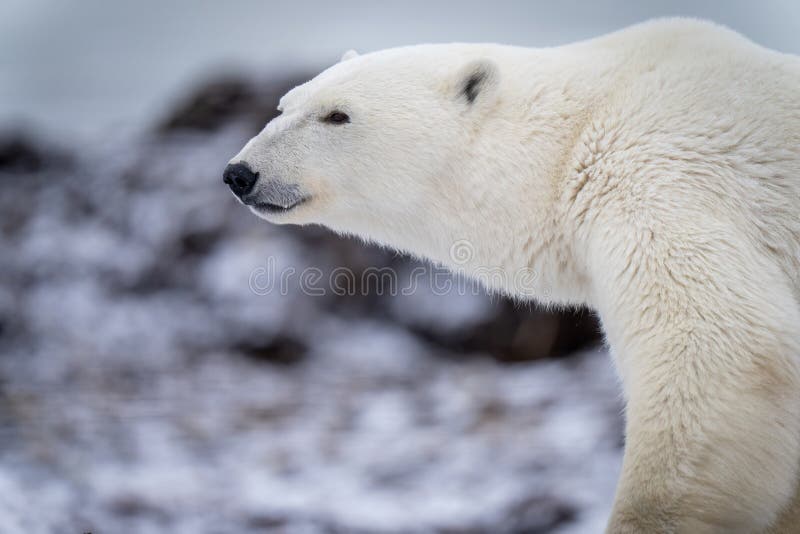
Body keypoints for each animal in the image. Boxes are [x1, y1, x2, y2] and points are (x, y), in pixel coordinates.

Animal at [223, 18, 800, 533]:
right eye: (284, 106)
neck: (572, 137)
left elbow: (721, 353)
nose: (239, 173)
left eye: (337, 115)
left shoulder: (661, 175)